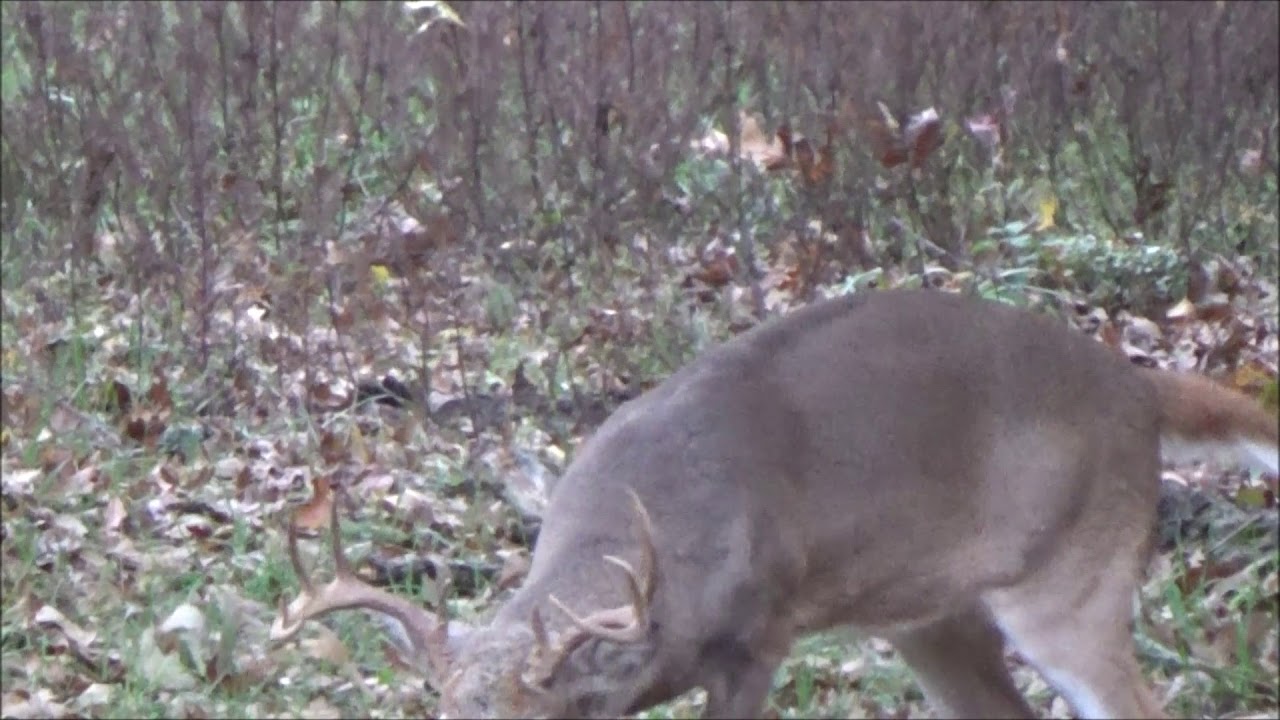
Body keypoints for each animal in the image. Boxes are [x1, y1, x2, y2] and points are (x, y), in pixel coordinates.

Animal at [269, 289, 1279, 719]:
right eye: (439, 714)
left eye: (531, 719)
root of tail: (1139, 388)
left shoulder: (758, 637)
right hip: (934, 620)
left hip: (1072, 581)